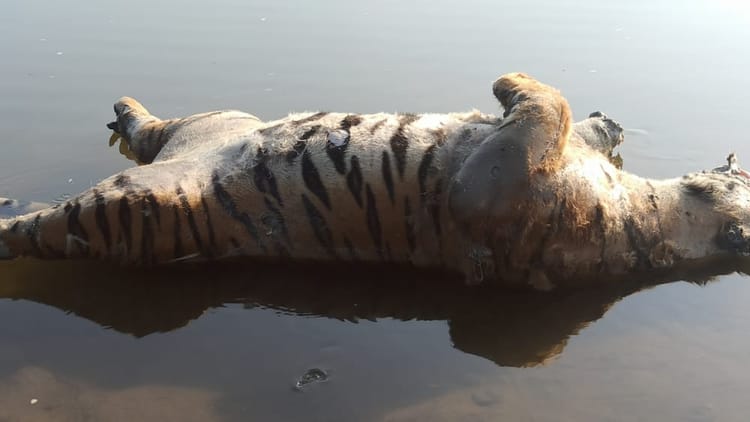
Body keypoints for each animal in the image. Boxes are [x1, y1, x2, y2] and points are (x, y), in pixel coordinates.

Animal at [1, 73, 749, 290]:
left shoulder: (491, 184)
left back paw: (10, 216)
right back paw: (123, 109)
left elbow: (546, 105)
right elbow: (573, 117)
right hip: (215, 121)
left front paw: (511, 82)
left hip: (139, 204)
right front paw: (604, 119)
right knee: (145, 127)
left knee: (35, 228)